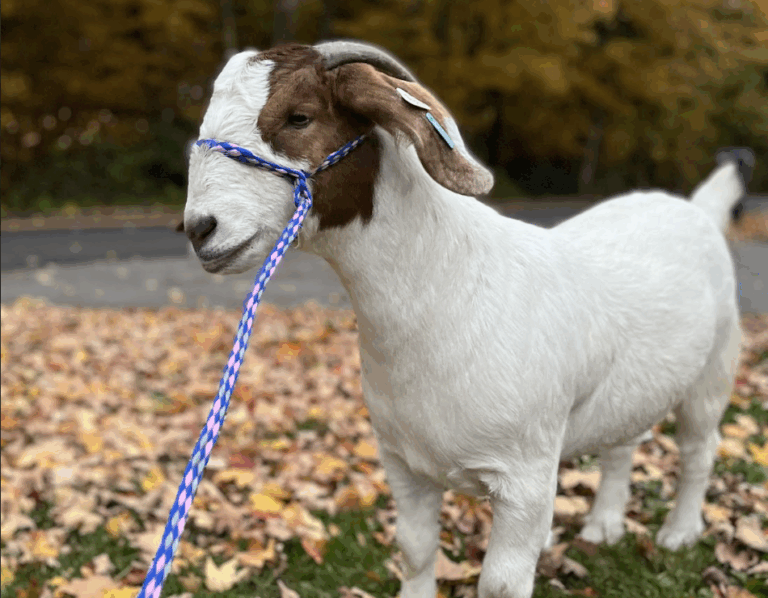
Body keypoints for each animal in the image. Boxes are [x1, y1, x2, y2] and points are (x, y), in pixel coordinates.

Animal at [183, 41, 744, 598]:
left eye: (299, 116)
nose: (198, 229)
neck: (450, 293)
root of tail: (695, 209)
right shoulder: (403, 463)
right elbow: (414, 547)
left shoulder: (525, 481)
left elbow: (500, 583)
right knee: (624, 444)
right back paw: (603, 527)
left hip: (715, 369)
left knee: (700, 448)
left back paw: (678, 533)